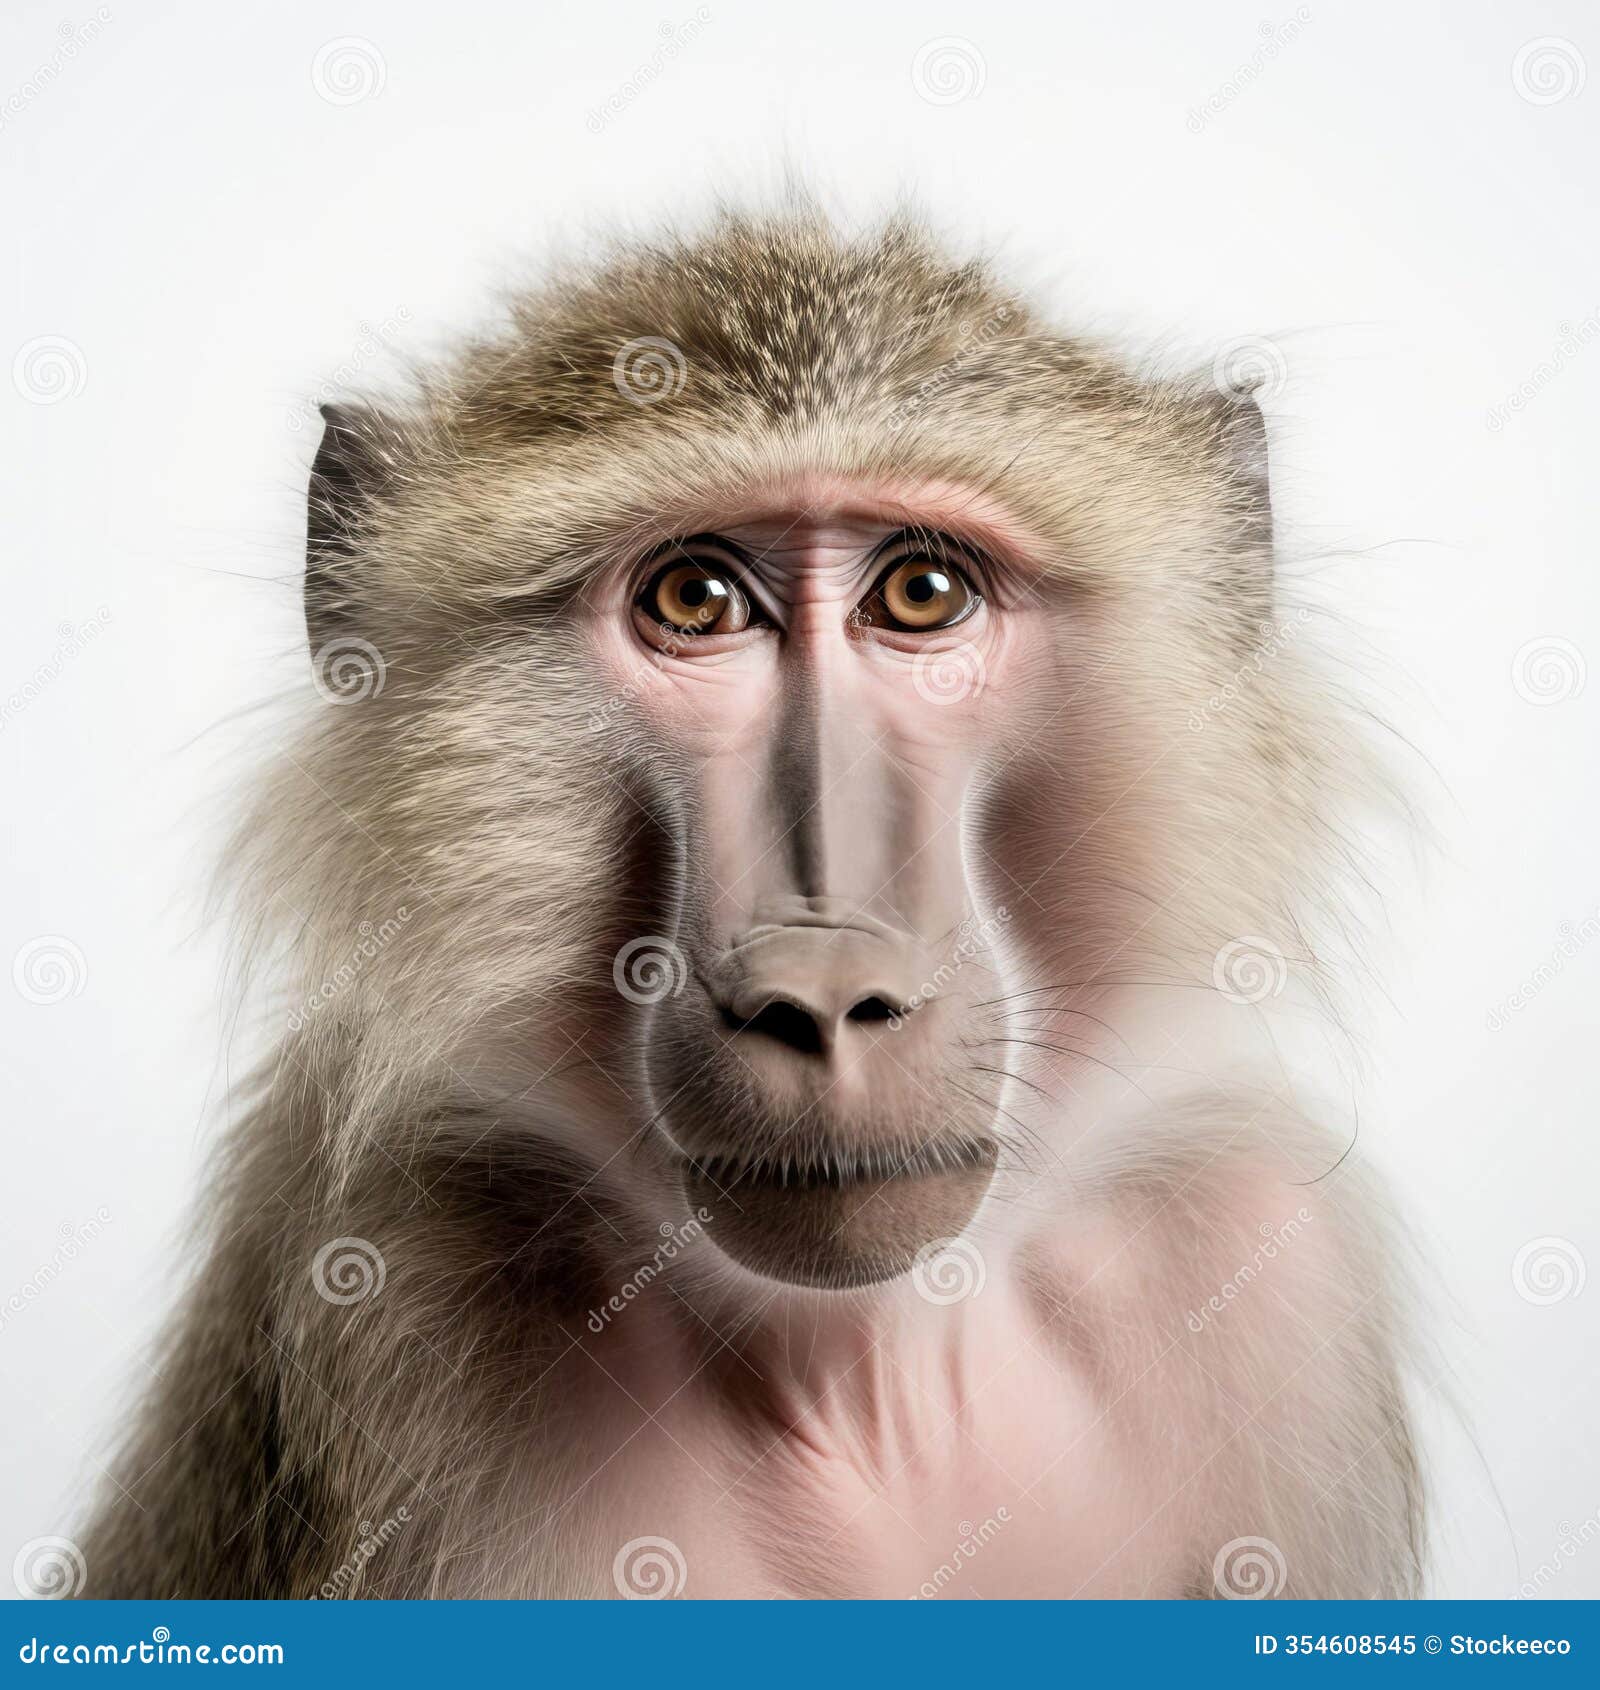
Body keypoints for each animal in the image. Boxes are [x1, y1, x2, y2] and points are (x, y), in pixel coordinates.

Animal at [78, 207, 1424, 1600]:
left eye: (922, 594)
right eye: (695, 600)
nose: (822, 991)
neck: (863, 1373)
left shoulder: (1264, 1265)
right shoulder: (401, 1288)